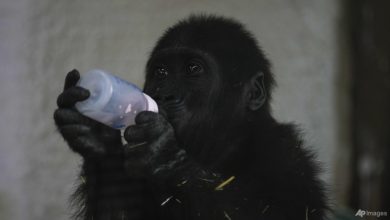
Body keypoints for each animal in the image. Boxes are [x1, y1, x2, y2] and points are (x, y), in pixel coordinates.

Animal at [54, 15, 330, 220]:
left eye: (193, 69)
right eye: (161, 72)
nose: (164, 95)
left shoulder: (286, 158)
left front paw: (164, 156)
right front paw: (97, 137)